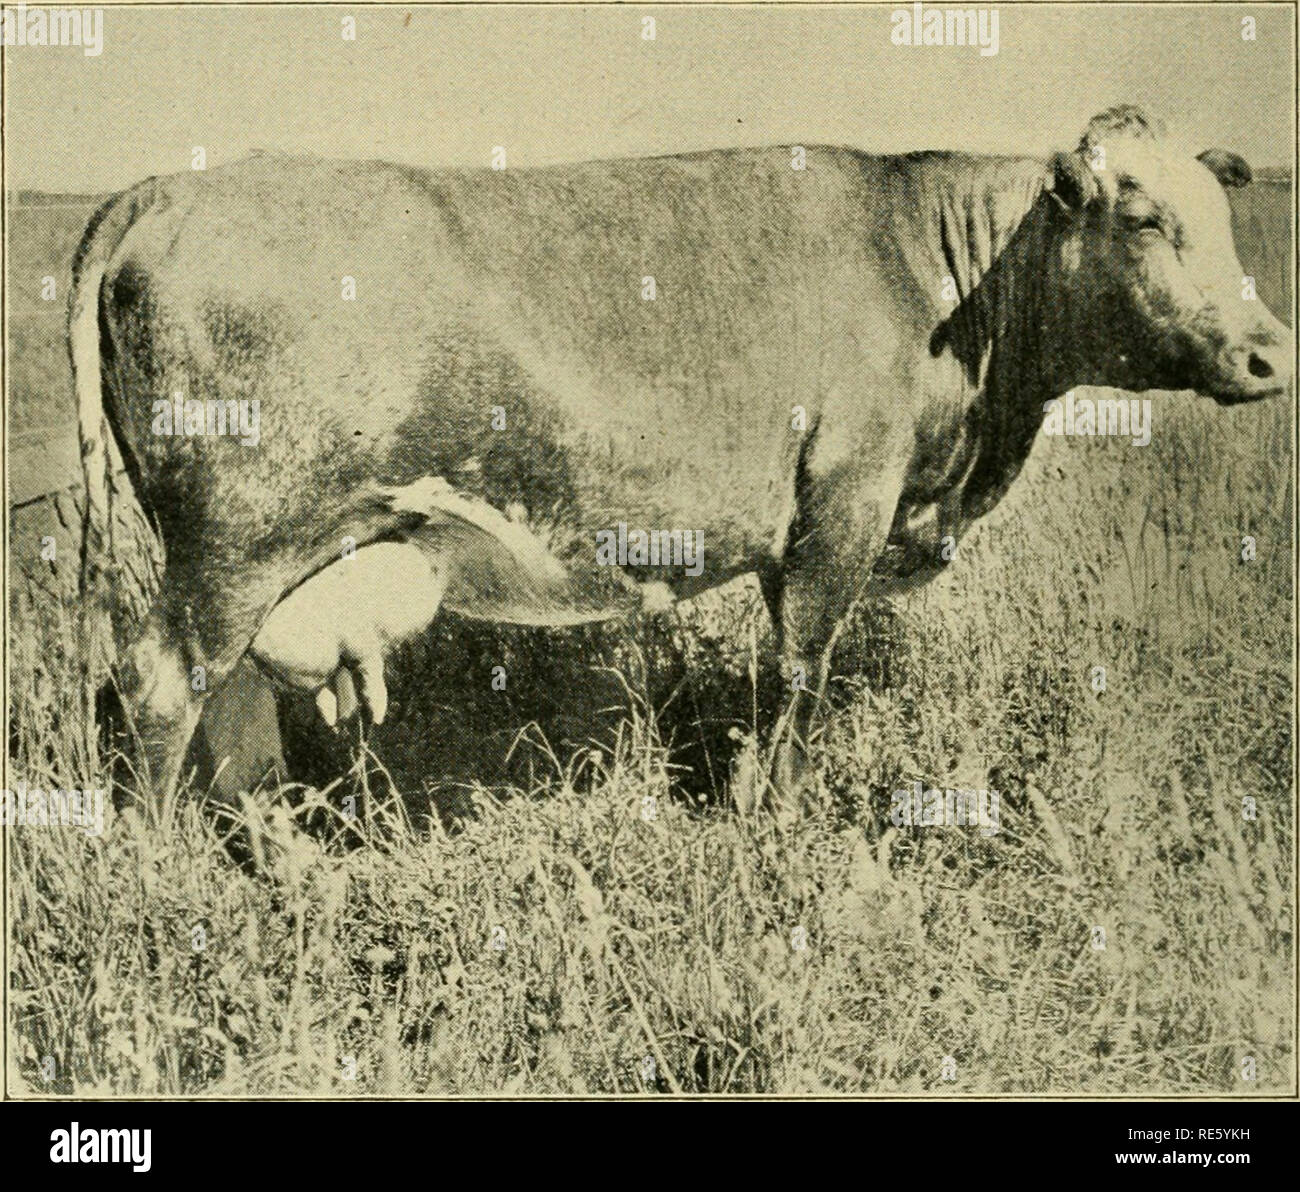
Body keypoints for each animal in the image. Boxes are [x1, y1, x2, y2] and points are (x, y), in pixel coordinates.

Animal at [69, 106, 1291, 816]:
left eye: (1223, 214)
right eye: (1142, 218)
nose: (1267, 349)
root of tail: (177, 185)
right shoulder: (841, 506)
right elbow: (800, 673)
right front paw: (780, 817)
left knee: (232, 712)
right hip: (238, 540)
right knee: (163, 681)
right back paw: (164, 867)